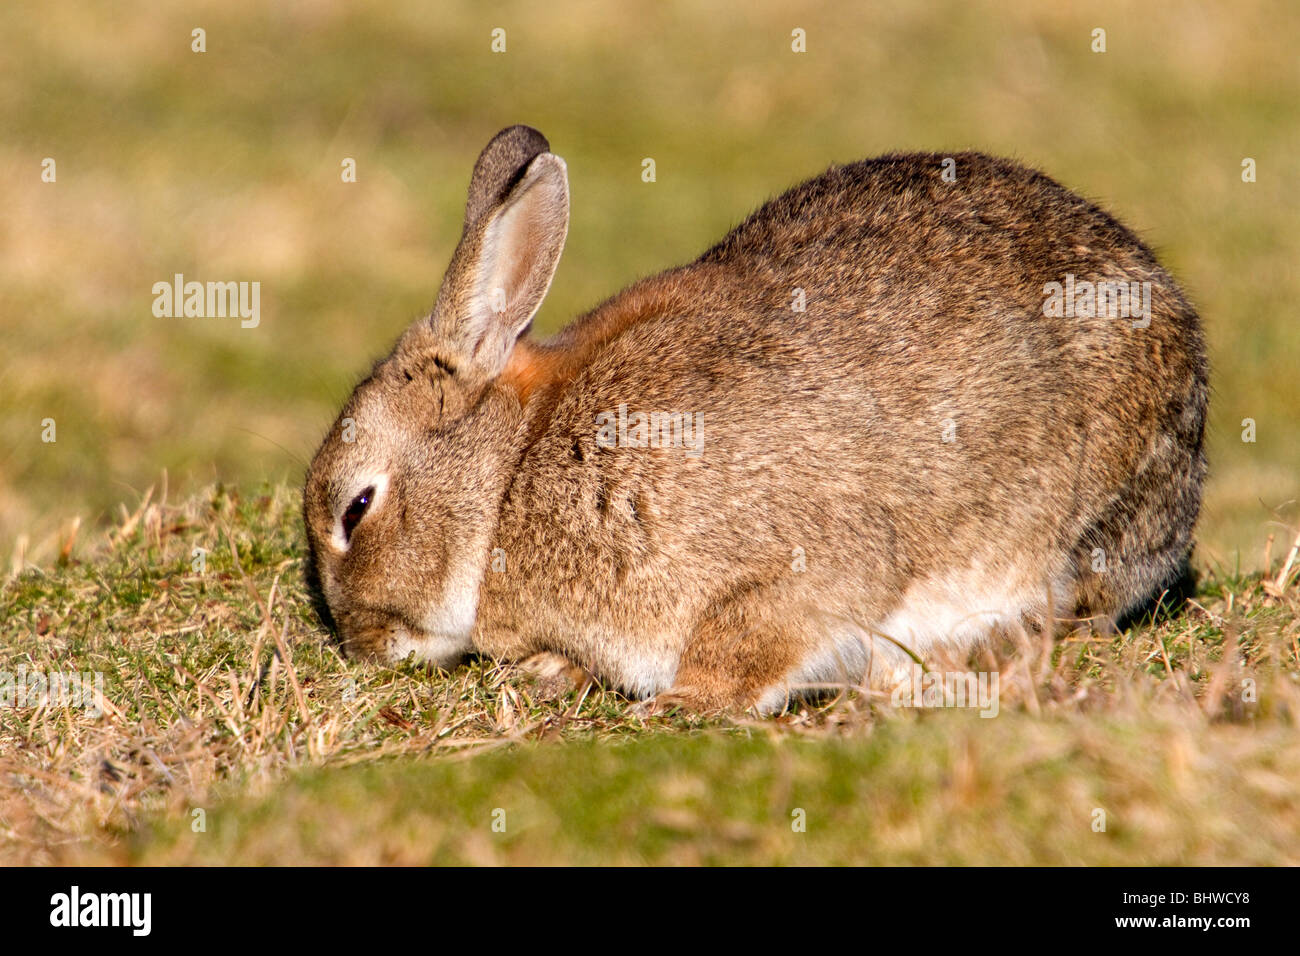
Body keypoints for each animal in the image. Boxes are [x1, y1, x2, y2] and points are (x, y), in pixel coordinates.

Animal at [303, 125, 1207, 714]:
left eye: (357, 508)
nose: (363, 646)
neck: (510, 475)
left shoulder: (794, 560)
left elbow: (760, 630)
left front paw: (684, 702)